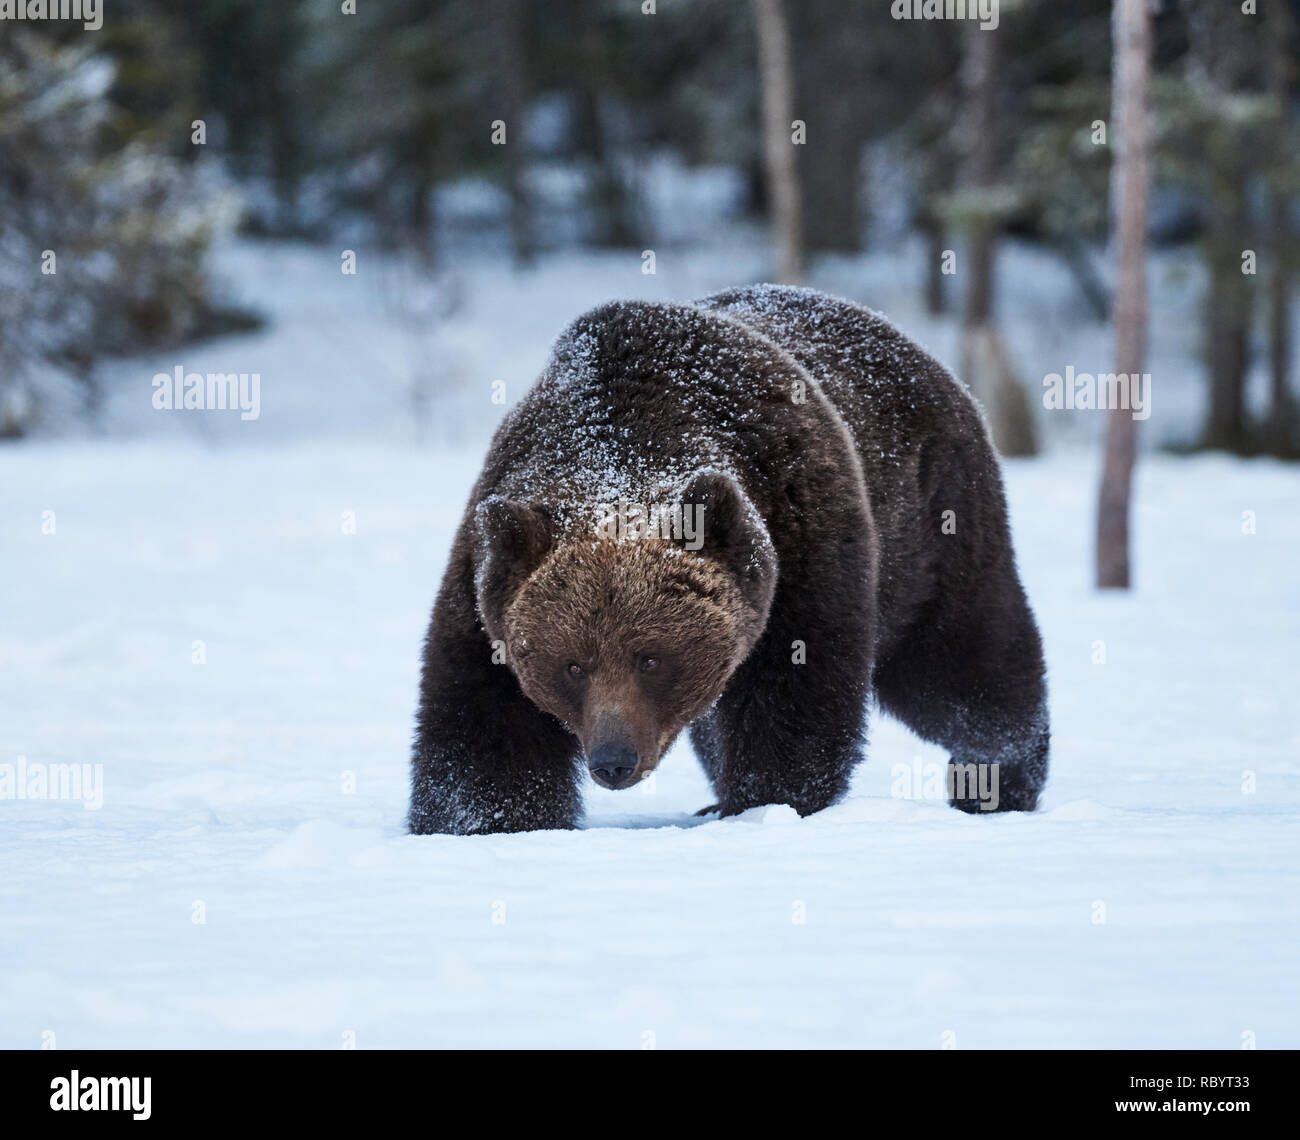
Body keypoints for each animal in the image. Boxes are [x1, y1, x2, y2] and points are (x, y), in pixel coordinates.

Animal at [408, 284, 1049, 835]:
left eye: (650, 658)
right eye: (572, 665)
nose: (614, 760)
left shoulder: (800, 537)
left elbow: (795, 696)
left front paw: (770, 802)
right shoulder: (487, 578)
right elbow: (483, 724)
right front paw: (488, 822)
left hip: (930, 528)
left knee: (961, 665)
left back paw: (997, 780)